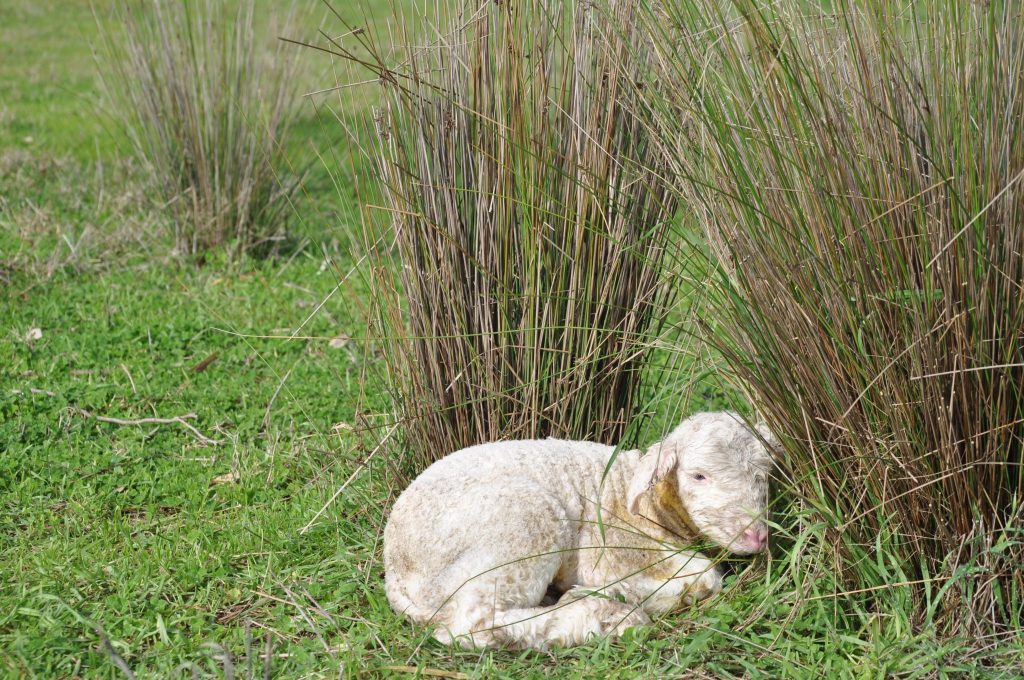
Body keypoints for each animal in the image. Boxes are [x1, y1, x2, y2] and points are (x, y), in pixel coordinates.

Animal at [383, 411, 774, 650]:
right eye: (698, 476)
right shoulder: (608, 551)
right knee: (475, 623)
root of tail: (394, 567)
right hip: (522, 527)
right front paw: (628, 592)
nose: (756, 537)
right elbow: (708, 576)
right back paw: (605, 615)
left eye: (764, 474)